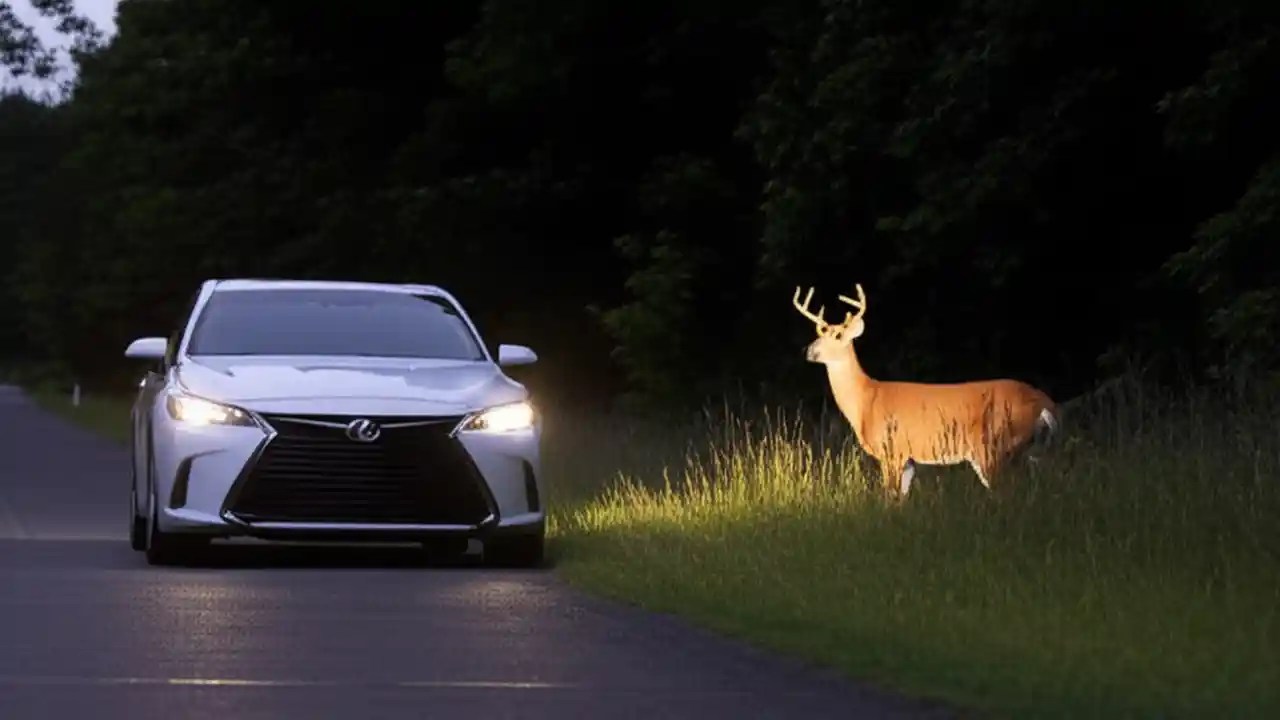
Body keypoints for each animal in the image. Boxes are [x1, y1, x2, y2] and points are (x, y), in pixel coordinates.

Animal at [792, 283, 1059, 499]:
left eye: (838, 335)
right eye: (817, 333)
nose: (808, 351)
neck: (866, 400)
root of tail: (1046, 403)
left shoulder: (892, 450)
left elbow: (889, 499)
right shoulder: (908, 459)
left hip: (993, 445)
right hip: (1028, 450)